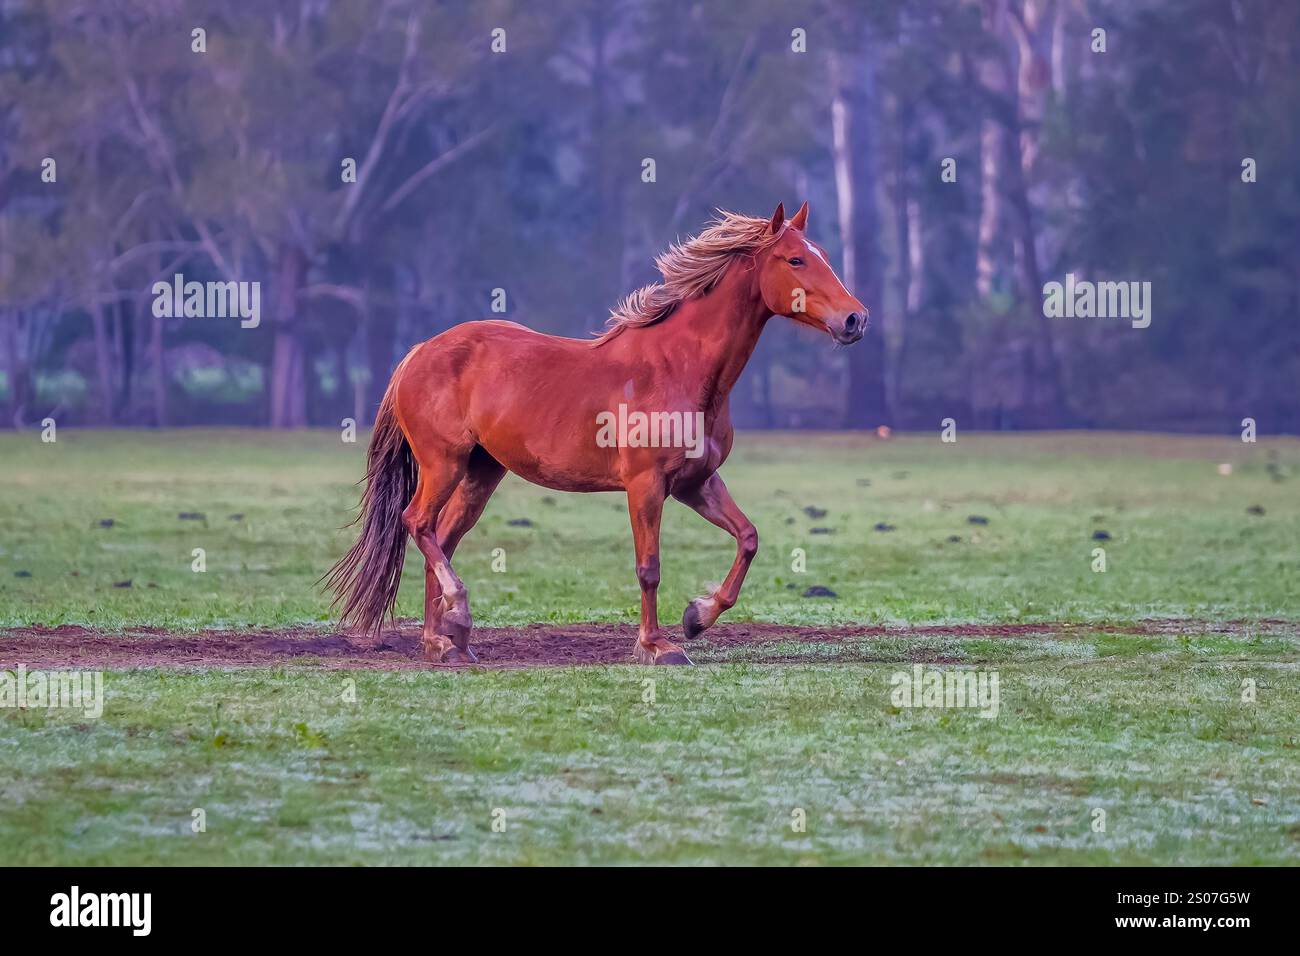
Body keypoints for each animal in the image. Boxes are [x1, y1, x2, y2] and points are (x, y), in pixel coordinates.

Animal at [326, 201, 867, 665]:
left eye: (821, 254)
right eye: (795, 258)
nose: (855, 318)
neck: (680, 369)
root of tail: (419, 352)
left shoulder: (697, 483)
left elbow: (748, 538)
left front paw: (697, 616)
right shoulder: (646, 486)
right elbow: (649, 567)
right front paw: (657, 646)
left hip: (481, 473)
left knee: (440, 538)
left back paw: (443, 642)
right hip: (444, 464)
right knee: (417, 523)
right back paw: (456, 617)